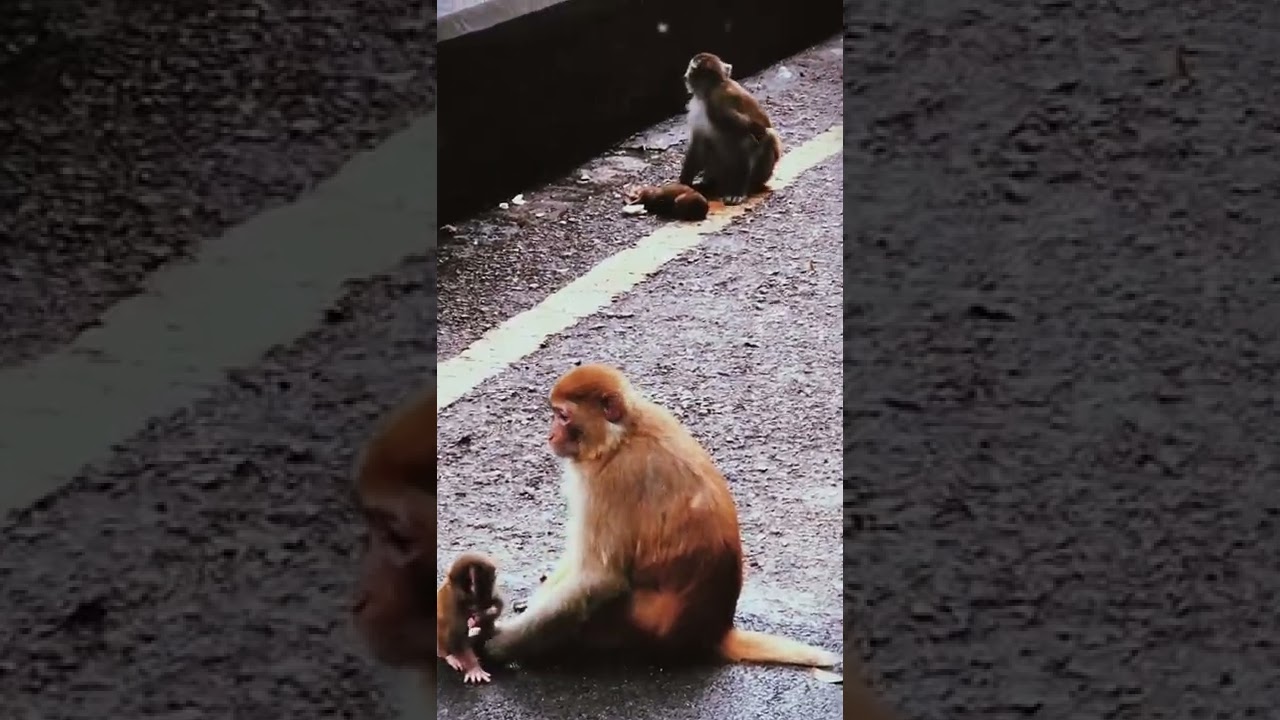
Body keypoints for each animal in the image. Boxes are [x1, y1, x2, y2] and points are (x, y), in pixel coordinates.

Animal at [437, 551, 505, 683]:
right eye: (468, 601)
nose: (474, 608)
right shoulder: (456, 604)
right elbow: (456, 637)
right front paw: (474, 669)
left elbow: (498, 604)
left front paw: (482, 616)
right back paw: (447, 655)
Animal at [479, 364, 838, 670]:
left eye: (563, 416)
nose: (550, 435)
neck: (622, 435)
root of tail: (713, 632)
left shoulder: (613, 480)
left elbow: (599, 578)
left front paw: (501, 644)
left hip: (630, 630)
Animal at [679, 52, 783, 206]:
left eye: (691, 71)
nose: (685, 77)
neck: (714, 87)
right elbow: (698, 143)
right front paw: (683, 183)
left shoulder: (716, 105)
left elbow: (751, 134)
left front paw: (737, 193)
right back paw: (709, 184)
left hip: (762, 174)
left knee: (765, 136)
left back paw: (746, 186)